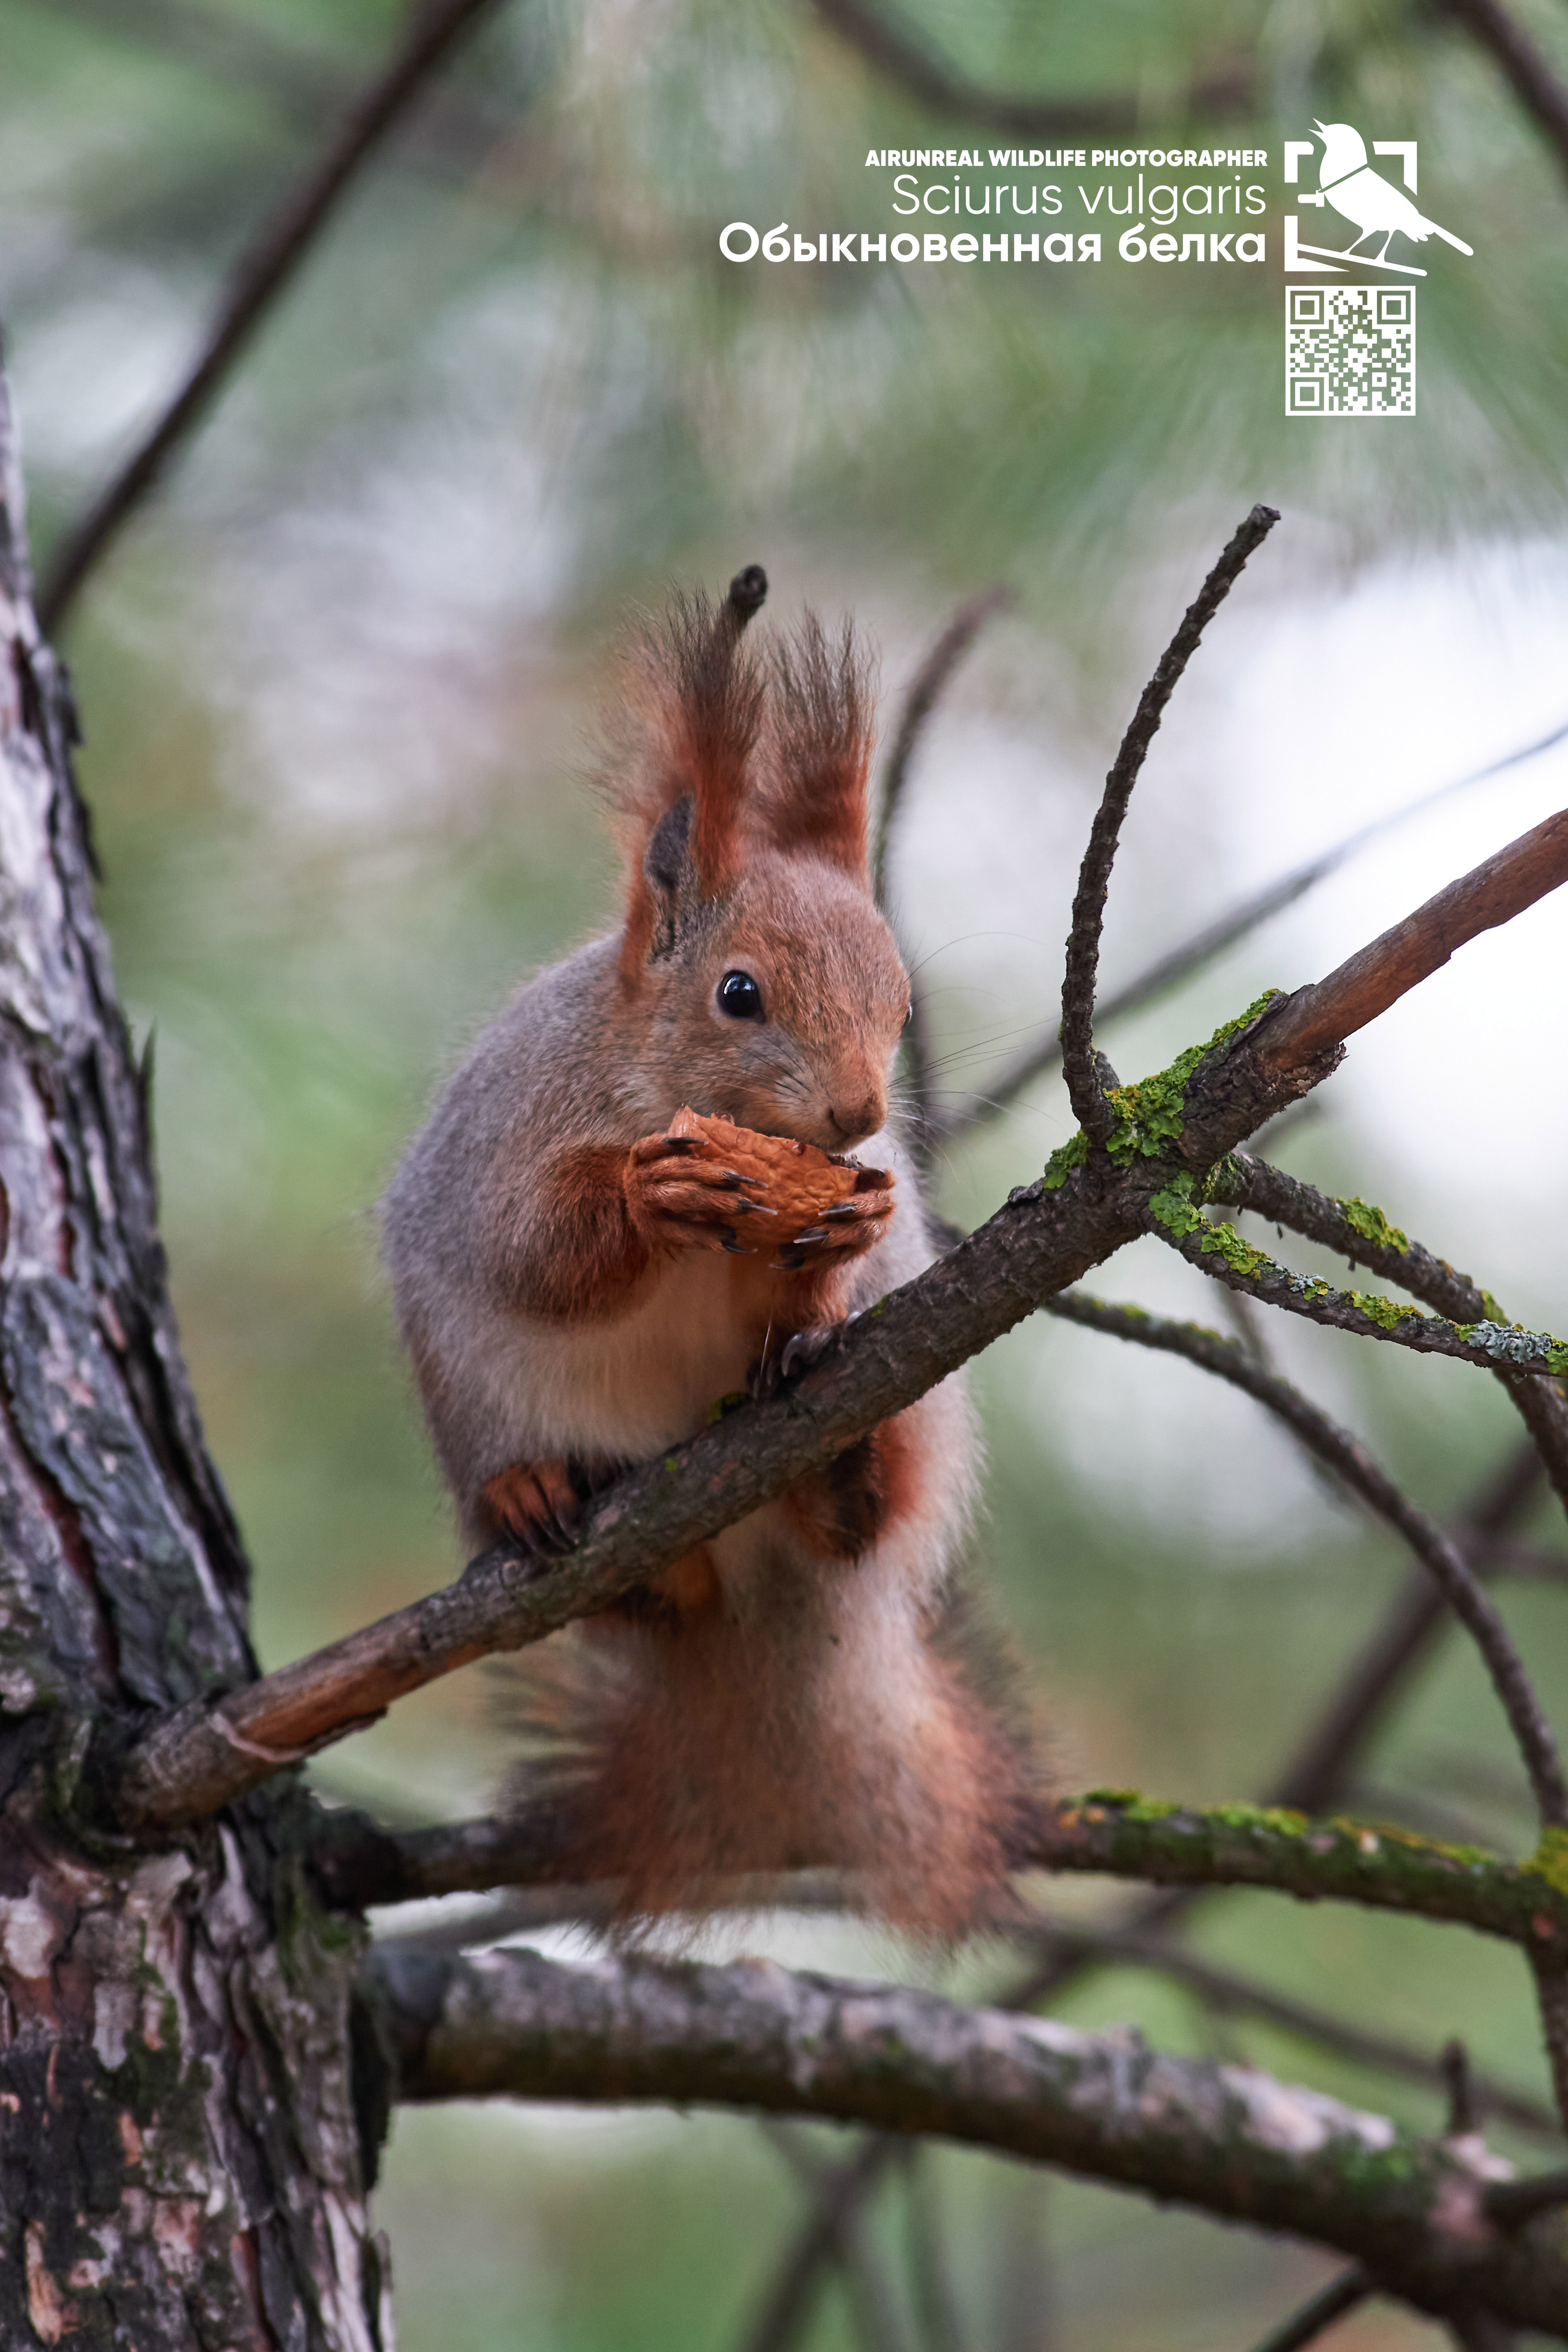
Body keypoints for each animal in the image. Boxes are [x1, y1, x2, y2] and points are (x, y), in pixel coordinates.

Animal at [381, 564, 1043, 1928]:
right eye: (738, 995)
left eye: (901, 1000)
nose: (857, 1113)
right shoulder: (501, 1148)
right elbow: (536, 1253)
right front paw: (650, 1198)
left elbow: (814, 1269)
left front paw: (831, 1247)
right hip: (476, 1399)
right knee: (638, 1583)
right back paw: (547, 1499)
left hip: (912, 1427)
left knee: (869, 1520)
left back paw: (836, 1467)